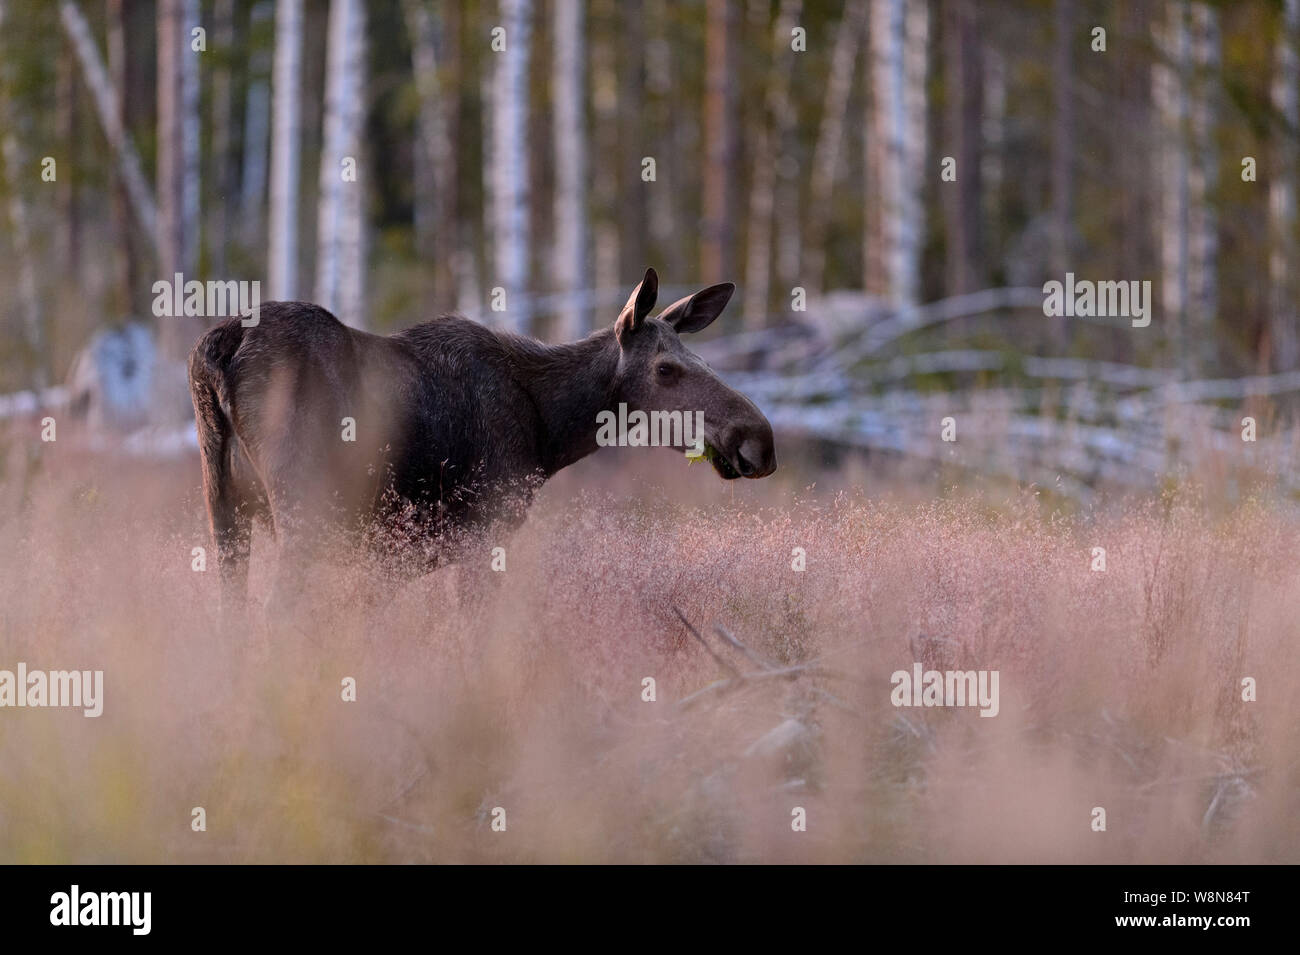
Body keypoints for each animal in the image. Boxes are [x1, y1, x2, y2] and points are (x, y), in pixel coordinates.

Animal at [187, 268, 776, 610]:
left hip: (224, 513)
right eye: (666, 369)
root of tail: (218, 349)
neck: (548, 433)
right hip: (303, 515)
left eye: (700, 359)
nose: (759, 440)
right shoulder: (482, 533)